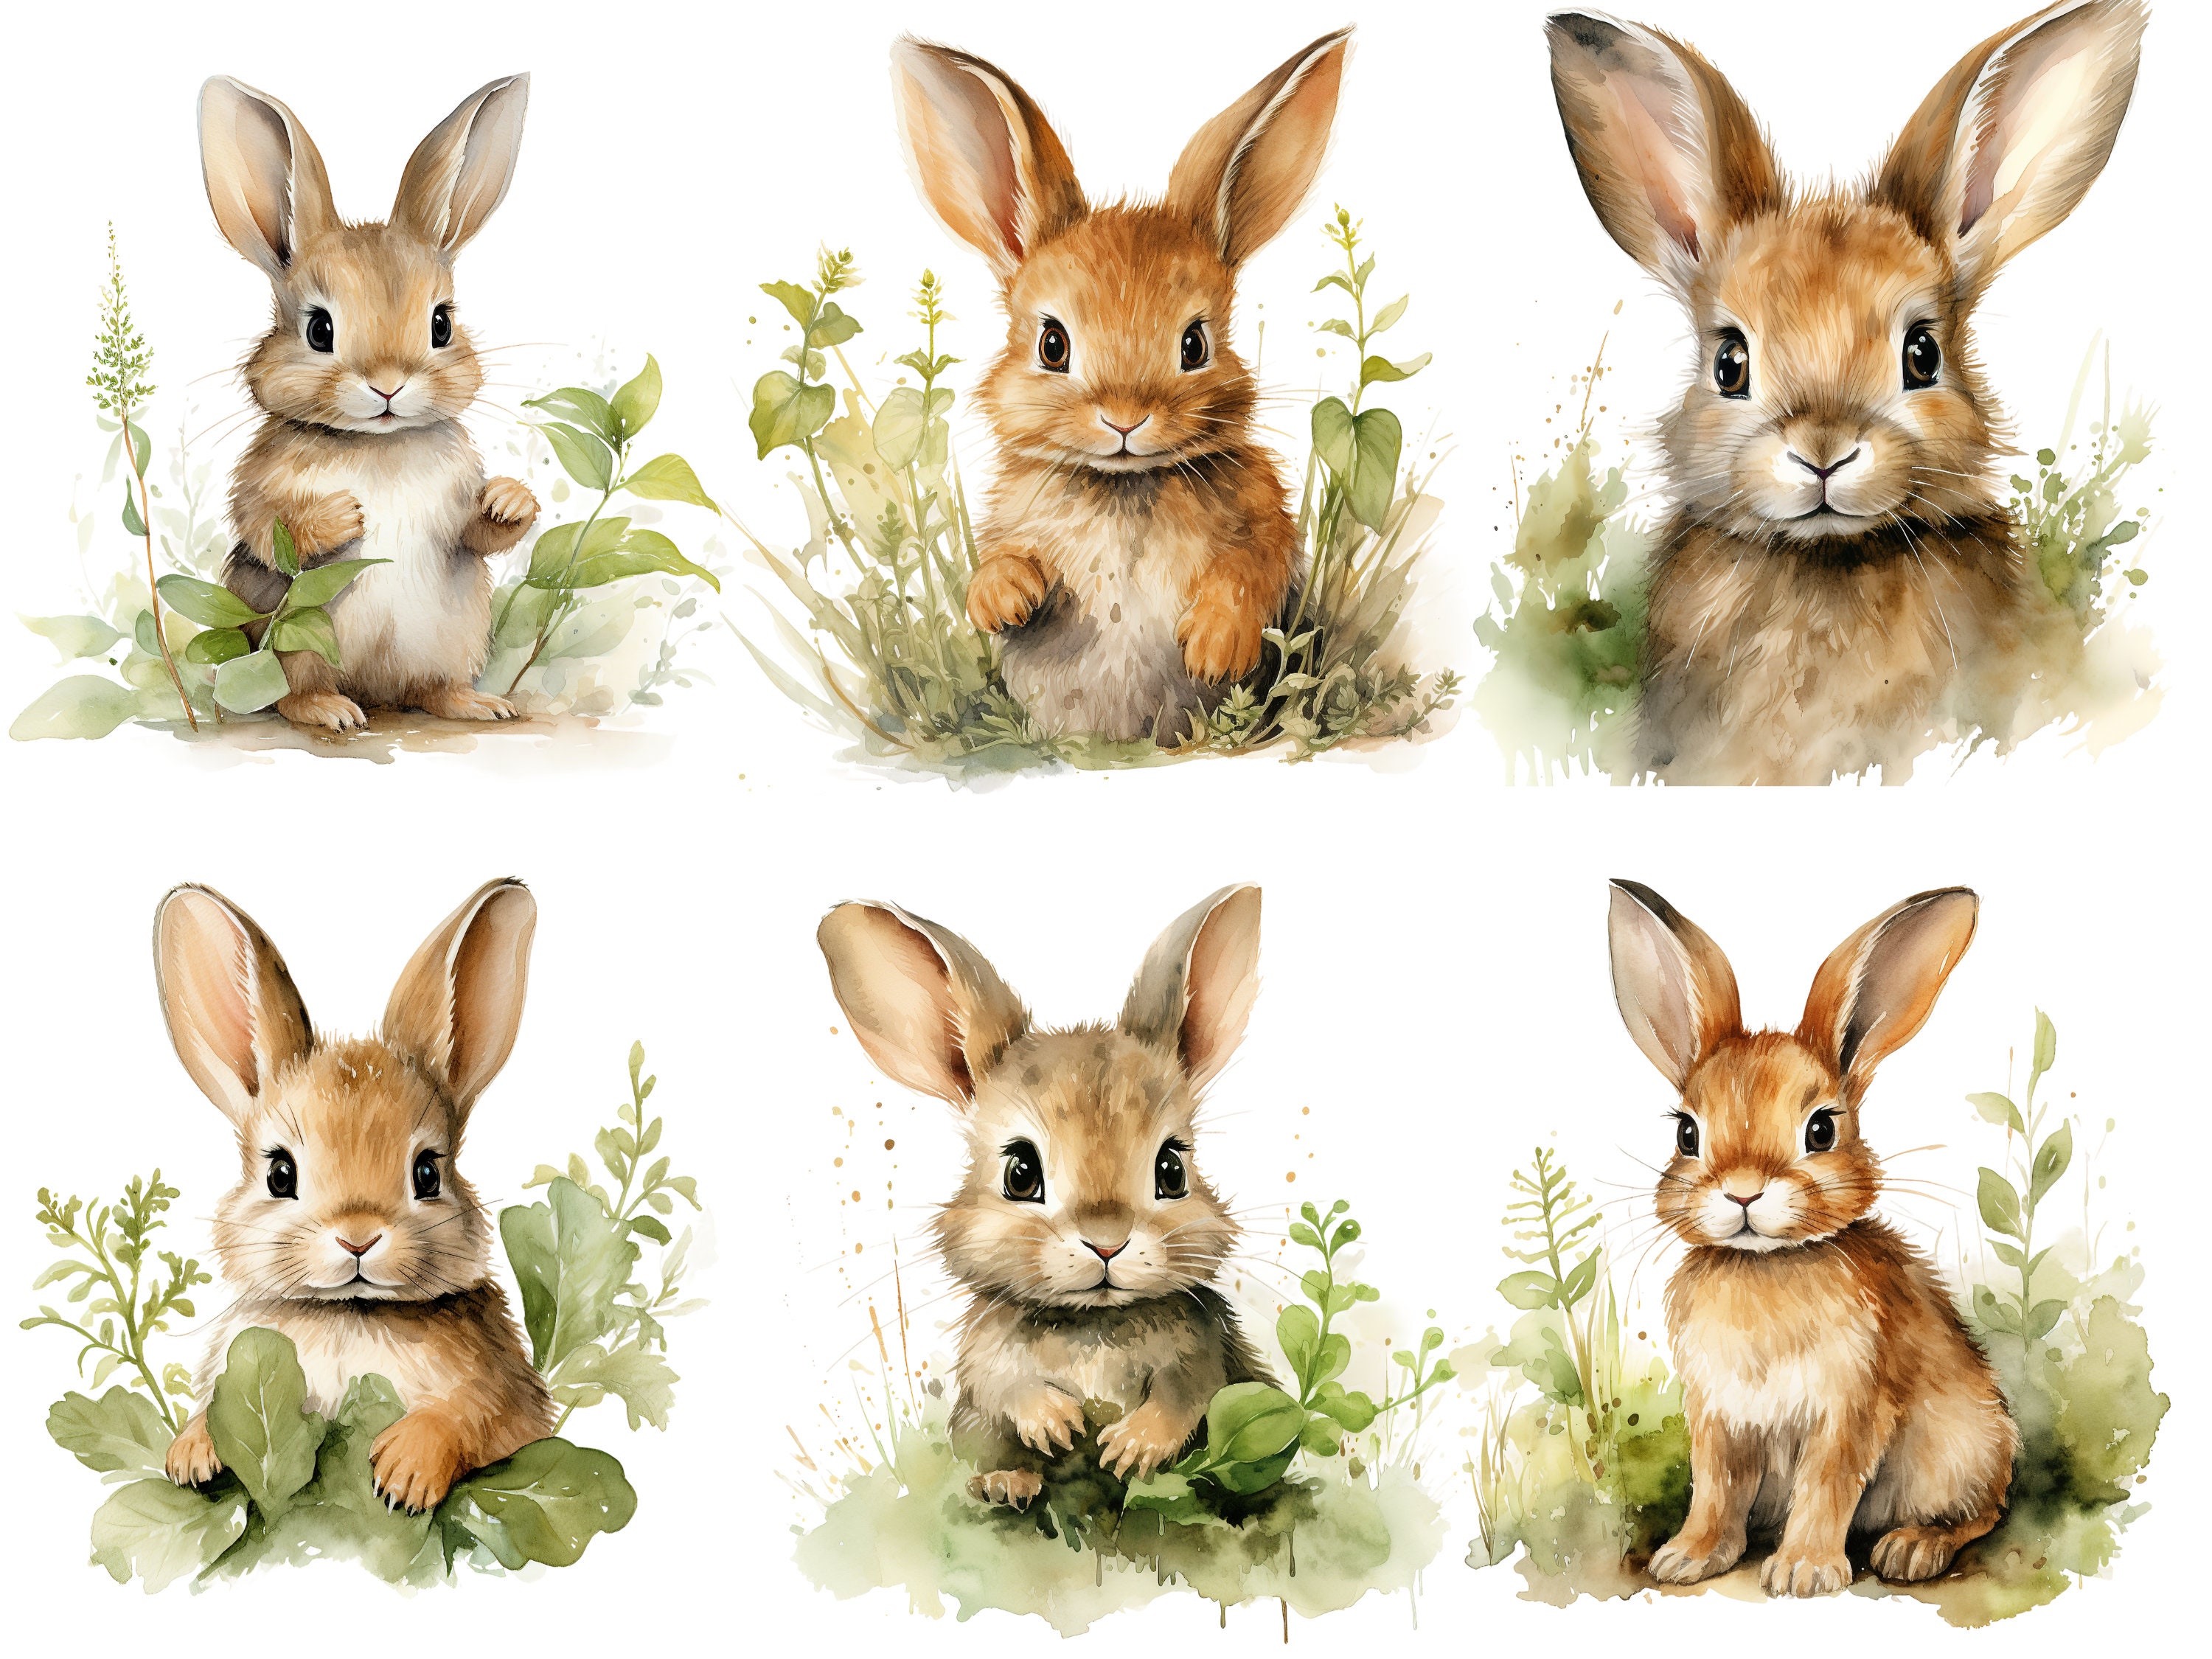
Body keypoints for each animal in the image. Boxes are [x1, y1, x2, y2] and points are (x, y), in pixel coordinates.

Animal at [153, 877, 554, 1513]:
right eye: (281, 1175)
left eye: (427, 1174)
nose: (358, 1239)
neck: (351, 1312)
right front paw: (191, 1454)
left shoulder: (504, 1397)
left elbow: (468, 1417)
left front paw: (404, 1474)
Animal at [198, 75, 539, 732]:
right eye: (319, 330)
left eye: (441, 324)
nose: (387, 386)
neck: (381, 444)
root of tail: (379, 695)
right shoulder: (257, 491)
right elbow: (266, 528)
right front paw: (345, 516)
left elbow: (480, 533)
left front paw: (510, 500)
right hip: (298, 640)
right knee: (295, 691)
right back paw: (334, 711)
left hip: (455, 636)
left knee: (431, 688)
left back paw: (478, 704)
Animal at [817, 885, 1273, 1509]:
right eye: (1020, 1173)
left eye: (1172, 1169)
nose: (1107, 1245)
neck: (1091, 1323)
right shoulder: (984, 1361)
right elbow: (1003, 1387)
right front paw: (1055, 1422)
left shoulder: (1204, 1352)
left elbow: (1186, 1392)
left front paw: (1132, 1446)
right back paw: (1007, 1483)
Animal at [890, 32, 1352, 742]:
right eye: (1053, 345)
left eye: (1194, 345)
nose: (1125, 419)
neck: (1123, 484)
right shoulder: (1012, 518)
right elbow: (996, 558)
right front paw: (1006, 598)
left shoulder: (1265, 524)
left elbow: (1251, 568)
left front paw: (1215, 647)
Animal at [1605, 880, 2018, 1596]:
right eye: (1687, 1133)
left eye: (1822, 1130)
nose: (1743, 1192)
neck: (1764, 1265)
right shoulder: (1718, 1415)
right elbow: (1715, 1488)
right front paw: (1689, 1556)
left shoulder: (1850, 1409)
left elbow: (1827, 1485)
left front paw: (1804, 1571)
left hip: (1964, 1451)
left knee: (1981, 1512)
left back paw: (1912, 1549)